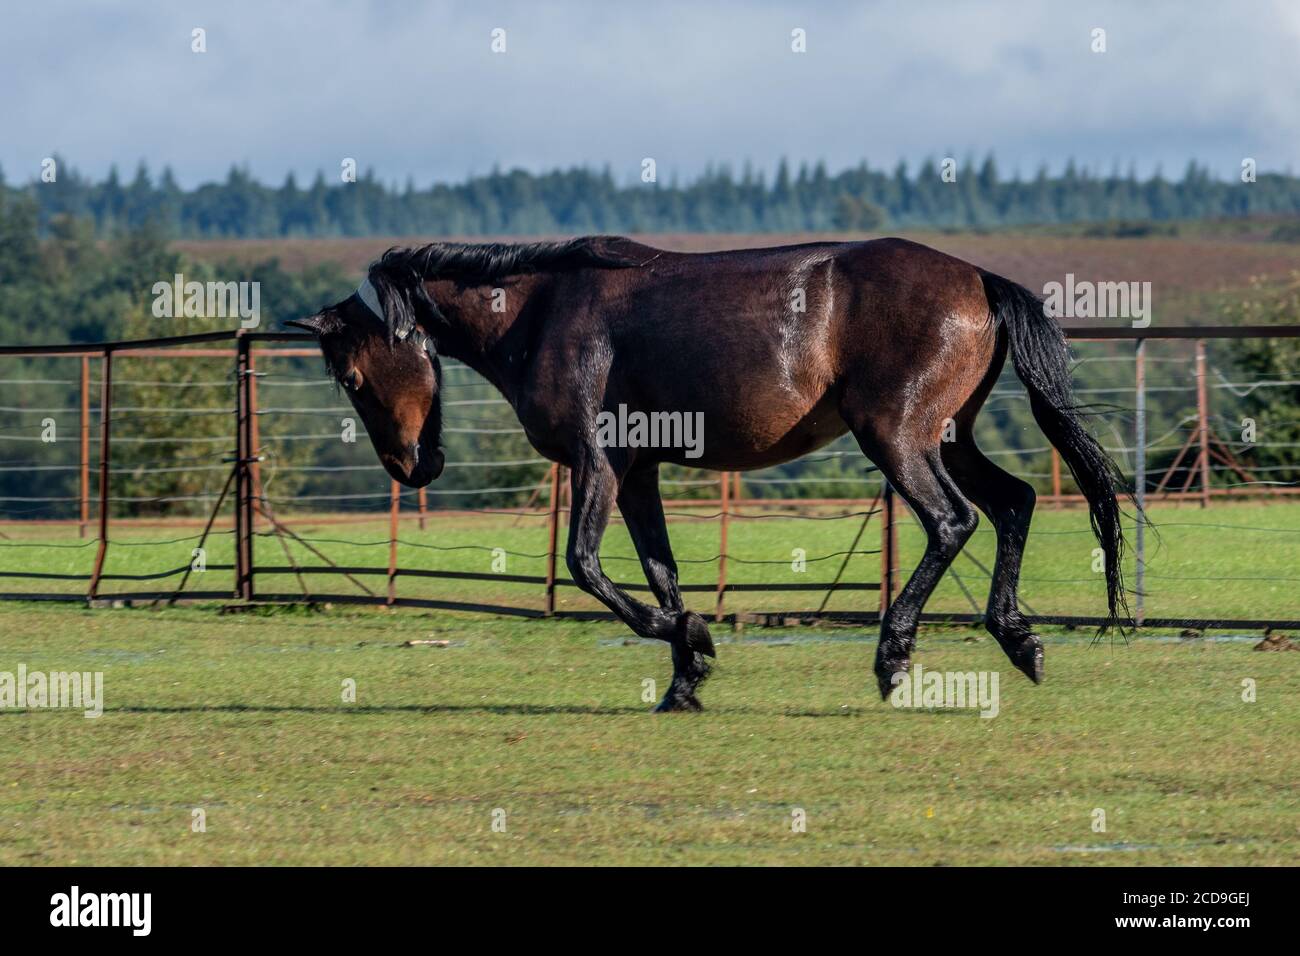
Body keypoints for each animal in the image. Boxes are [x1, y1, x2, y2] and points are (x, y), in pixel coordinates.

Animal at [287, 236, 1126, 712]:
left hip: (899, 437)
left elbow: (586, 566)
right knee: (1014, 503)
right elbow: (658, 571)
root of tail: (980, 280)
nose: (410, 467)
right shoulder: (637, 474)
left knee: (954, 522)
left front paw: (694, 640)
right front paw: (685, 676)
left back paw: (894, 658)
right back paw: (1020, 641)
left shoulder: (599, 460)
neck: (543, 311)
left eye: (352, 378)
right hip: (947, 437)